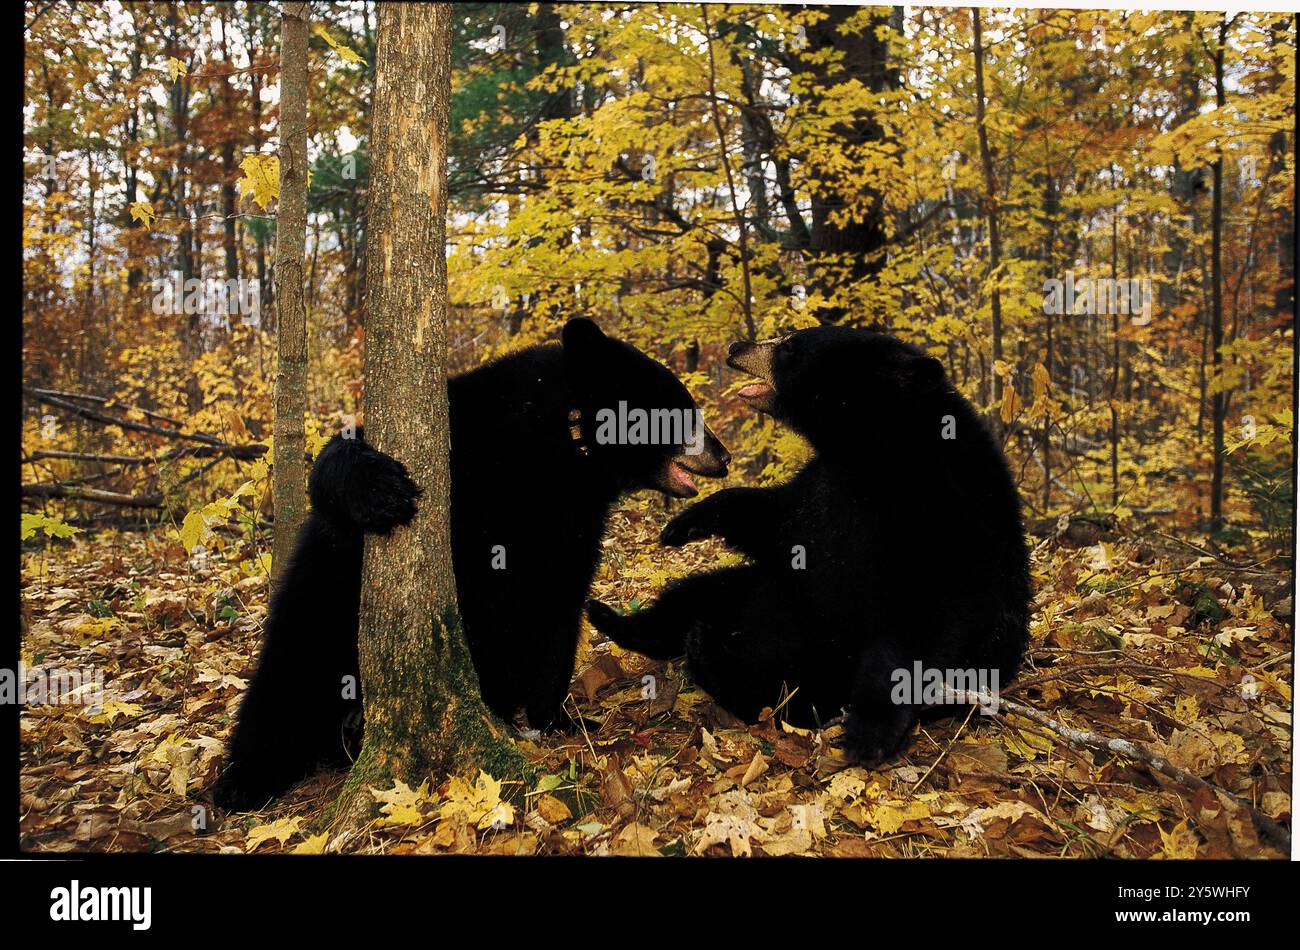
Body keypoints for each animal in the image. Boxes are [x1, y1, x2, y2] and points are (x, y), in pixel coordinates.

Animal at [212, 318, 729, 810]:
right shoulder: (469, 432)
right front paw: (378, 489)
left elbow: (558, 612)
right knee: (279, 694)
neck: (560, 451)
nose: (724, 456)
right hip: (312, 621)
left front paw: (558, 717)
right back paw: (244, 781)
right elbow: (338, 467)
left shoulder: (572, 524)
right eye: (682, 409)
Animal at [587, 326, 1031, 762]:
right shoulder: (823, 486)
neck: (873, 450)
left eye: (790, 345)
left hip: (825, 652)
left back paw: (710, 655)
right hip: (752, 589)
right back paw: (619, 621)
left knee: (792, 692)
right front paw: (685, 522)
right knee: (690, 597)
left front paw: (870, 732)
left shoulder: (945, 515)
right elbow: (778, 521)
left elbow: (923, 619)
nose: (736, 346)